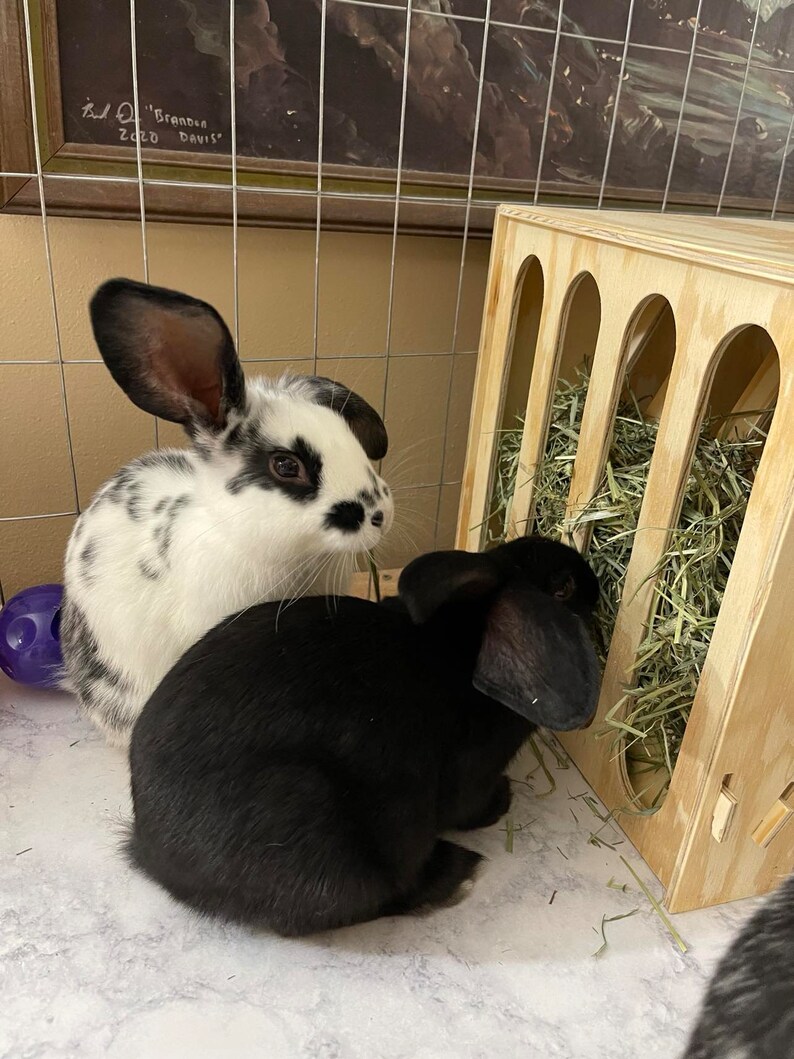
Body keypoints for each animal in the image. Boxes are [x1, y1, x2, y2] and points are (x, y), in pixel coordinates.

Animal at [127, 535, 601, 937]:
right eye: (563, 586)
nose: (595, 581)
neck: (462, 644)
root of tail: (151, 857)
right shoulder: (473, 775)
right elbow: (471, 806)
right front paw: (503, 801)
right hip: (343, 842)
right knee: (381, 897)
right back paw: (455, 872)